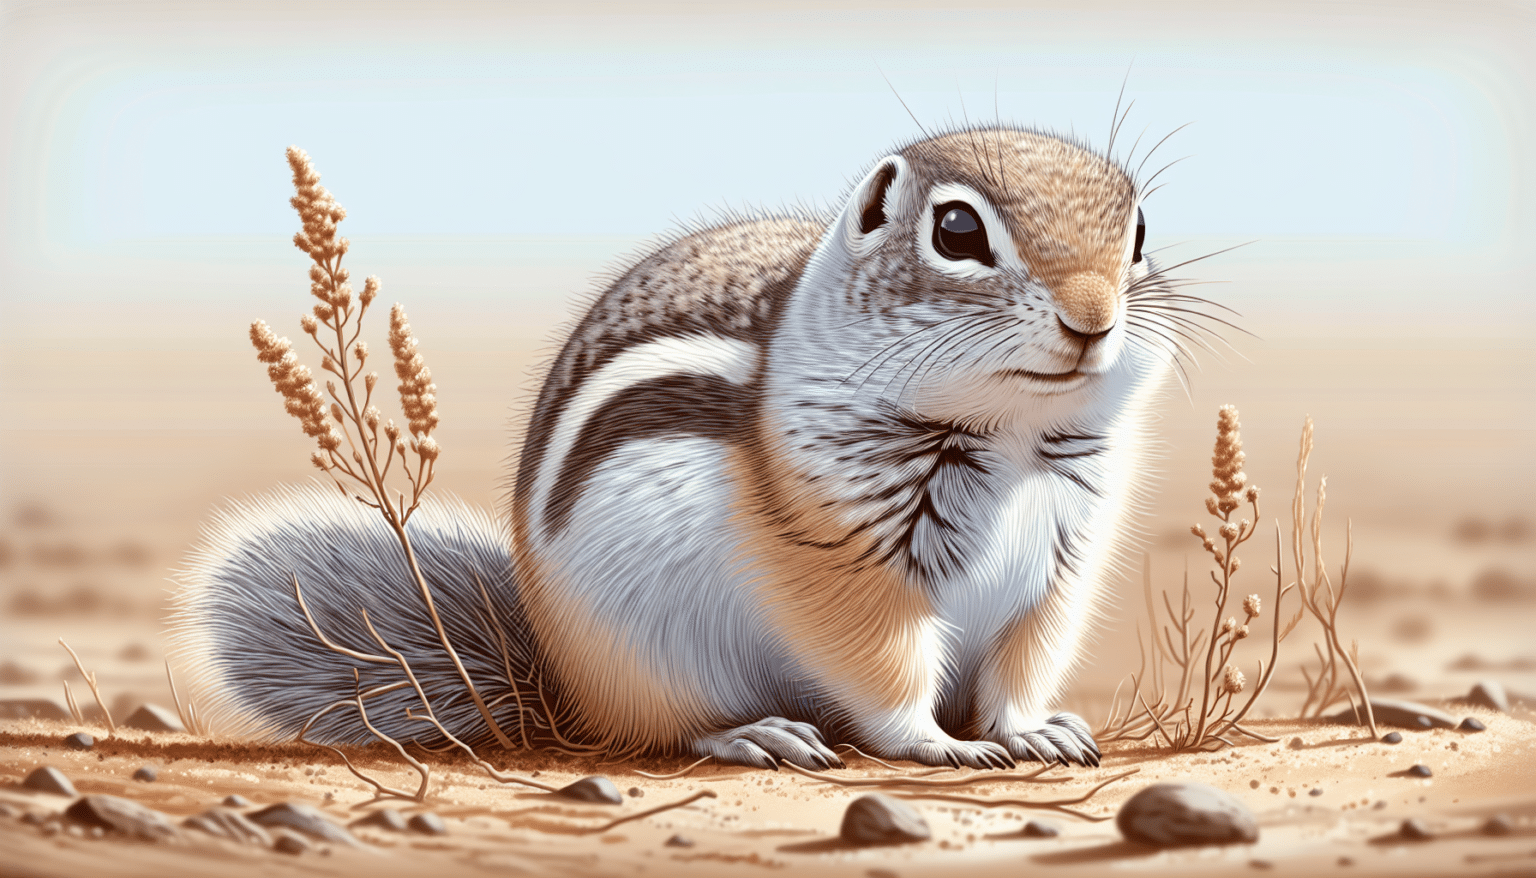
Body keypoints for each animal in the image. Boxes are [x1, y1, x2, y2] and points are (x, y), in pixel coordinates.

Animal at [171, 125, 1181, 771]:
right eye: (957, 229)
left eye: (1139, 233)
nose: (1093, 320)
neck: (1011, 440)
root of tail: (564, 681)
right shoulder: (840, 564)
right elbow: (881, 666)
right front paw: (939, 741)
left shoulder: (1060, 568)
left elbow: (1021, 663)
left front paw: (1033, 731)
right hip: (654, 655)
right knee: (668, 728)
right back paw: (754, 735)